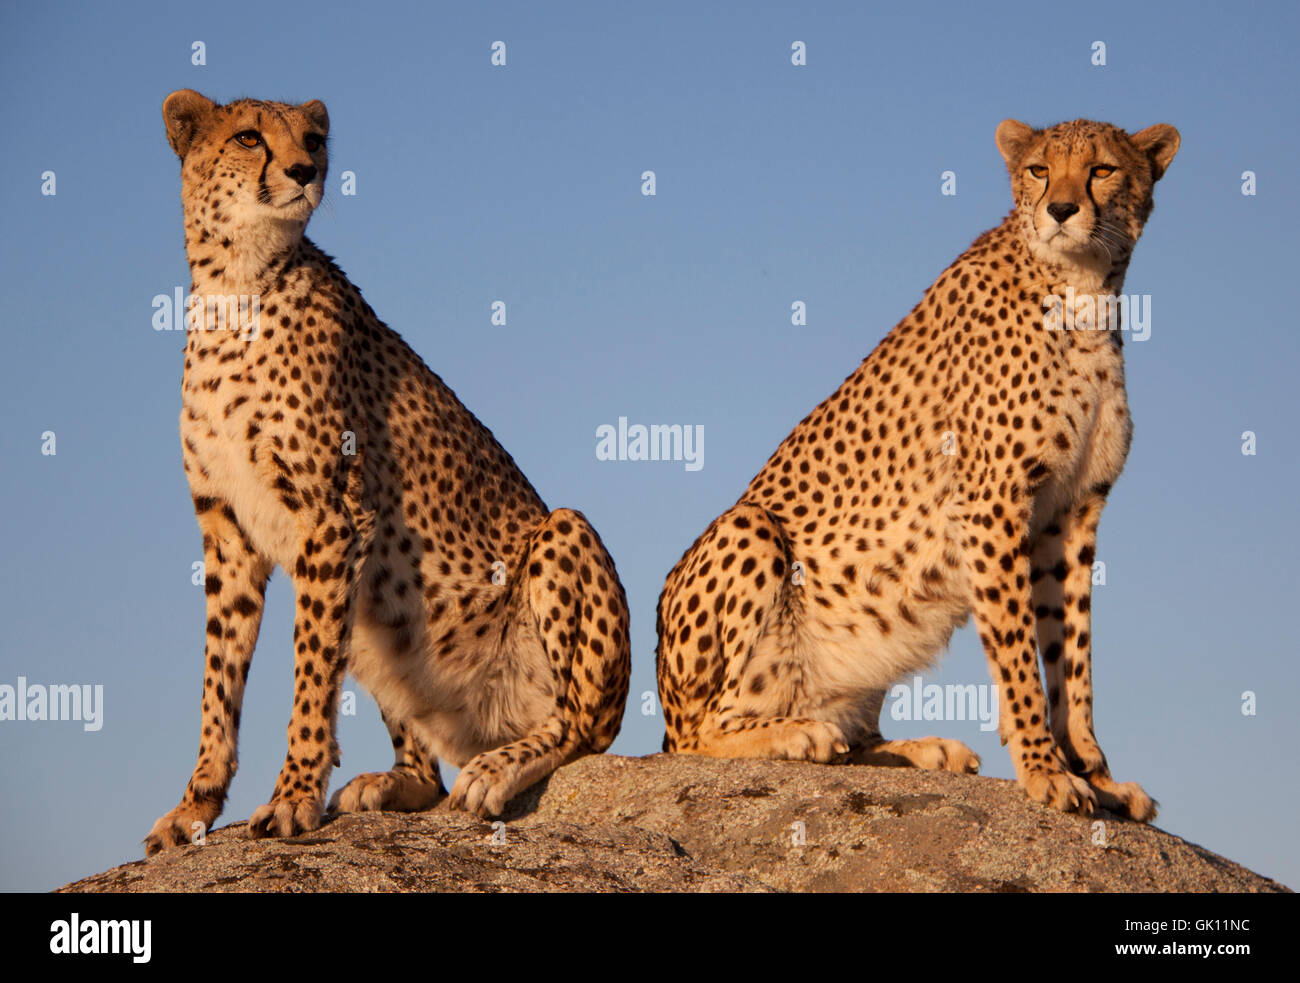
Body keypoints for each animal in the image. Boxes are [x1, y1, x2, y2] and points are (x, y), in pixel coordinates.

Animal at [144, 90, 631, 854]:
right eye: (249, 137)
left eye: (313, 138)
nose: (305, 169)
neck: (237, 284)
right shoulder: (228, 532)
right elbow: (218, 683)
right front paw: (194, 807)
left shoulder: (331, 518)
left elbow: (309, 676)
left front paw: (292, 798)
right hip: (383, 616)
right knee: (427, 769)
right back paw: (394, 782)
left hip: (560, 536)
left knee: (581, 725)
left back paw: (498, 766)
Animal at [655, 118, 1179, 822]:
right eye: (1040, 170)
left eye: (1101, 170)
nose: (1062, 210)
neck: (1084, 293)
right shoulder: (991, 505)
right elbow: (1018, 653)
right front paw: (1046, 771)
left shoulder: (1071, 514)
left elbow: (1071, 653)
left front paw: (1096, 774)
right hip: (750, 531)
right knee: (699, 734)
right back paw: (796, 734)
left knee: (853, 740)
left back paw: (916, 749)